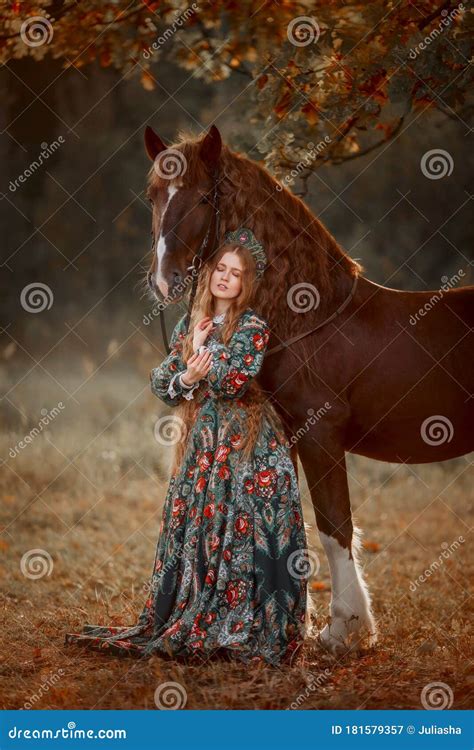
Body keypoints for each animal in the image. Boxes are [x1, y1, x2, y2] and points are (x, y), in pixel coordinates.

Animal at [143, 124, 474, 655]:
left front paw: (345, 628)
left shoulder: (322, 433)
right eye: (154, 195)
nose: (163, 279)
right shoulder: (293, 434)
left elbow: (335, 525)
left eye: (202, 197)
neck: (309, 319)